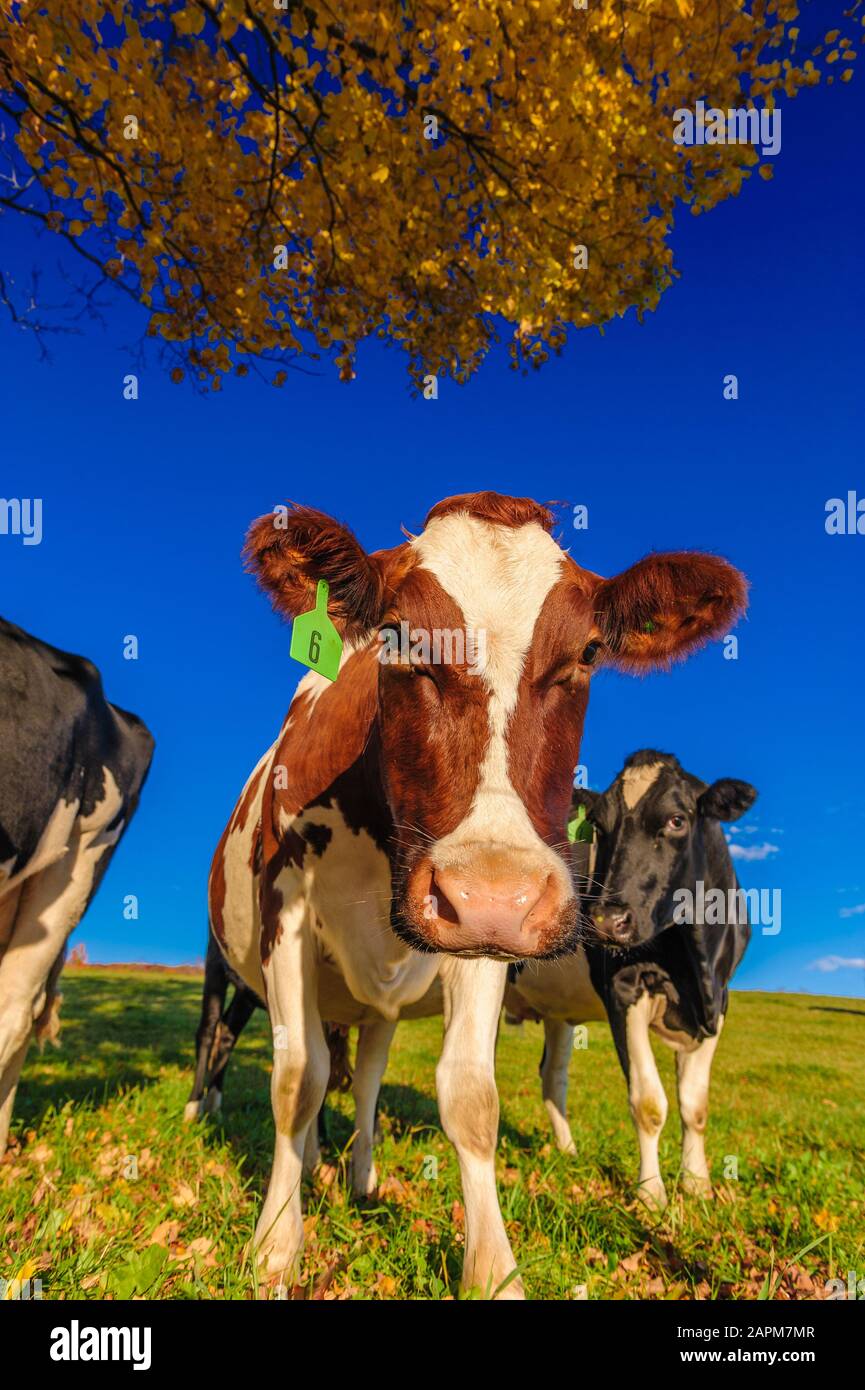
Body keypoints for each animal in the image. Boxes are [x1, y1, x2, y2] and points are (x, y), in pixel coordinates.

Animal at [507, 750, 756, 1208]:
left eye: (677, 820)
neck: (694, 968)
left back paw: (568, 1150)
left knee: (552, 1075)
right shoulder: (623, 989)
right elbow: (649, 1102)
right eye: (600, 825)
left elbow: (695, 1106)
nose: (607, 920)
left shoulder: (721, 1001)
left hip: (556, 1009)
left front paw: (697, 1183)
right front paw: (651, 1193)